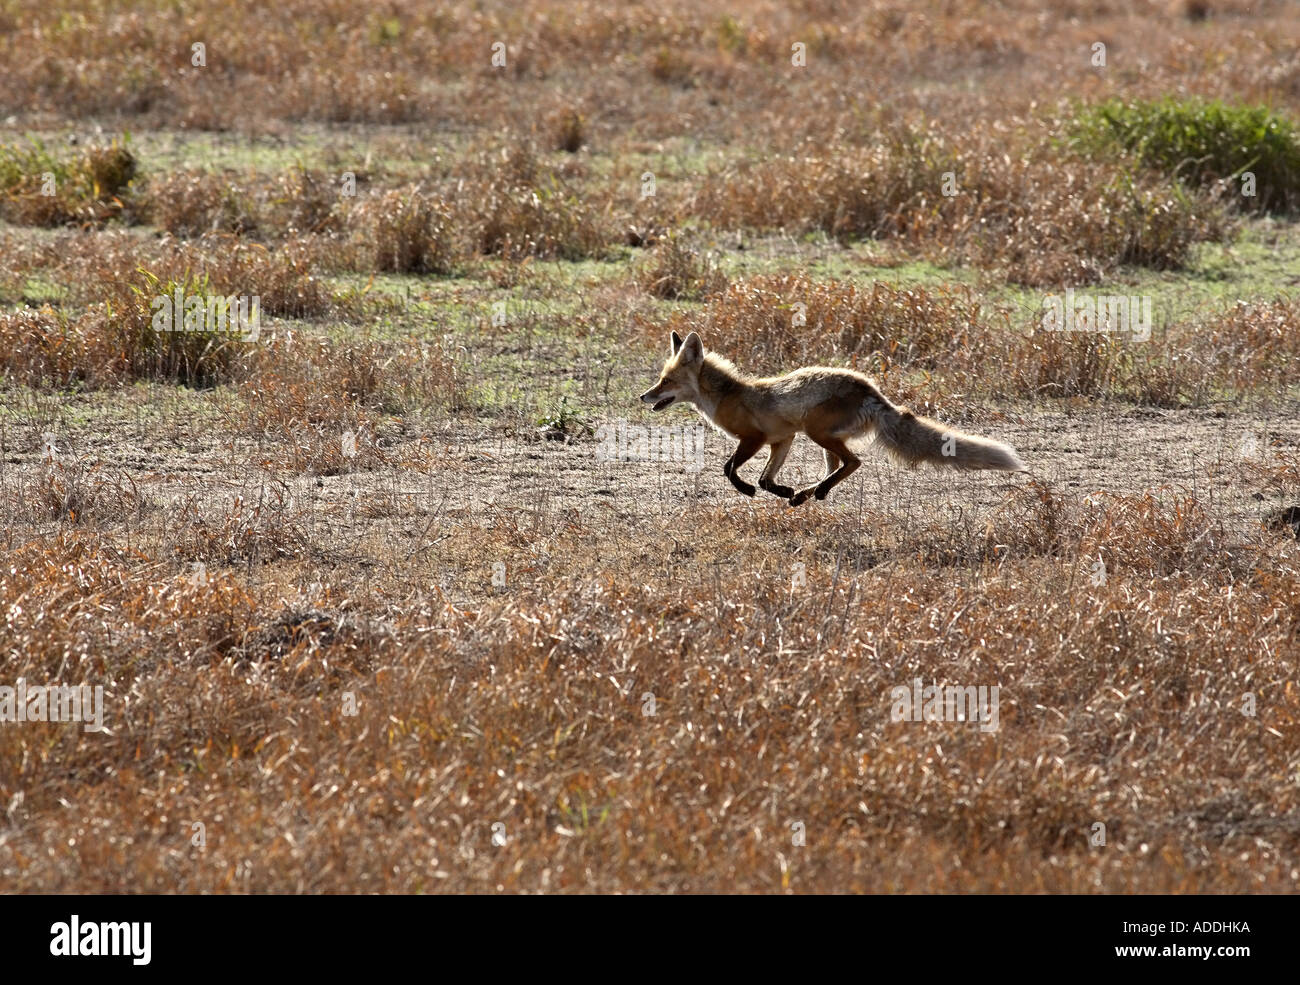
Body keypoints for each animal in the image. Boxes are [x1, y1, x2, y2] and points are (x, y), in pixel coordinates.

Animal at [639, 330, 1025, 505]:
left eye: (666, 381)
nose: (643, 396)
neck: (729, 396)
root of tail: (872, 390)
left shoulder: (755, 438)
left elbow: (729, 468)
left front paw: (746, 489)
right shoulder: (783, 439)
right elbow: (766, 478)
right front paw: (780, 490)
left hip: (817, 432)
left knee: (853, 463)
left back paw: (818, 491)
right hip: (820, 438)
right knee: (838, 466)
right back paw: (806, 493)